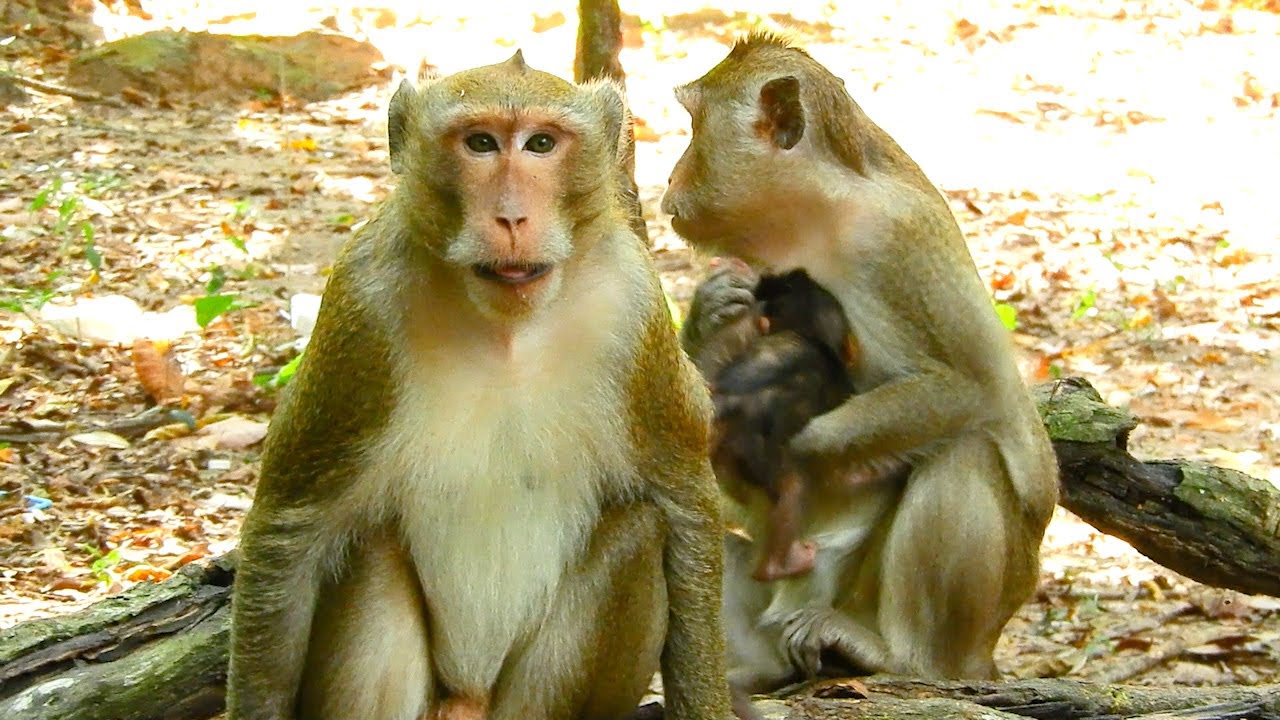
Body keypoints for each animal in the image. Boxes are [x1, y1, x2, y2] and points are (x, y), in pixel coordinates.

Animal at [226, 52, 737, 720]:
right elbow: (291, 531)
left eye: (541, 144)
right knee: (368, 545)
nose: (512, 215)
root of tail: (468, 698)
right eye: (481, 143)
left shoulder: (636, 304)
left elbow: (682, 504)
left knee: (639, 532)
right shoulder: (360, 305)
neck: (507, 330)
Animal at [662, 33, 1060, 690]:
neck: (818, 216)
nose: (670, 173)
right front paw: (710, 311)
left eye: (693, 126)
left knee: (965, 448)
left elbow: (977, 391)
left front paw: (802, 443)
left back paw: (898, 655)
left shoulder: (898, 240)